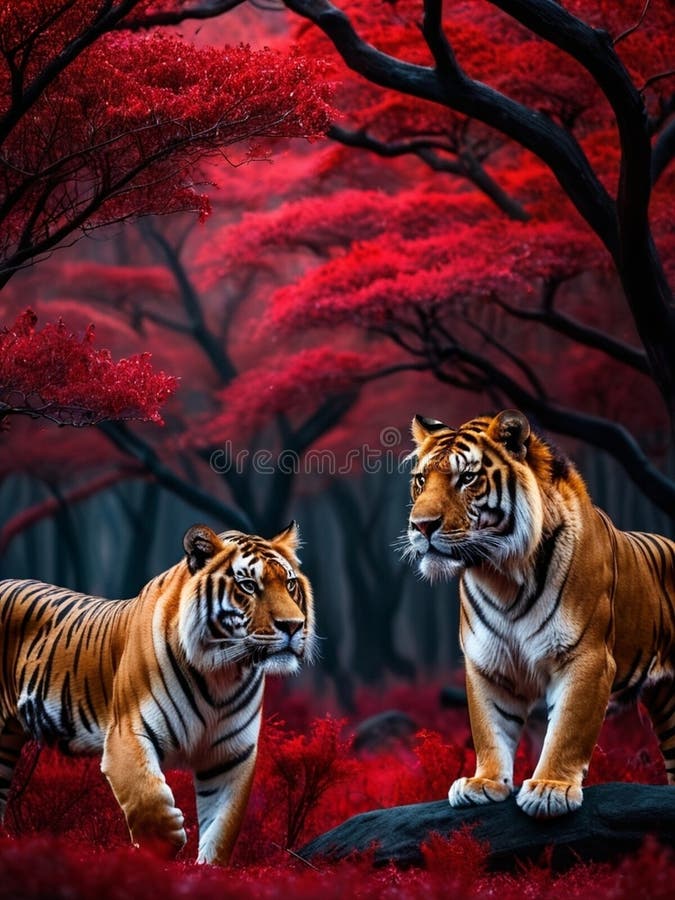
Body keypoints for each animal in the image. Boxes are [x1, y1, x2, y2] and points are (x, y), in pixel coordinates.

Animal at [0, 522, 314, 864]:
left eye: (289, 584)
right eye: (247, 585)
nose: (293, 626)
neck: (223, 673)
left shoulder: (231, 756)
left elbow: (223, 826)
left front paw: (207, 868)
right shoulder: (126, 734)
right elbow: (146, 796)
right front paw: (166, 842)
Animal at [405, 409, 675, 818]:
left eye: (466, 478)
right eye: (422, 479)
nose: (421, 526)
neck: (502, 577)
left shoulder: (587, 658)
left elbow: (567, 730)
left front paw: (551, 789)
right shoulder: (488, 664)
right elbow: (490, 728)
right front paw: (484, 783)